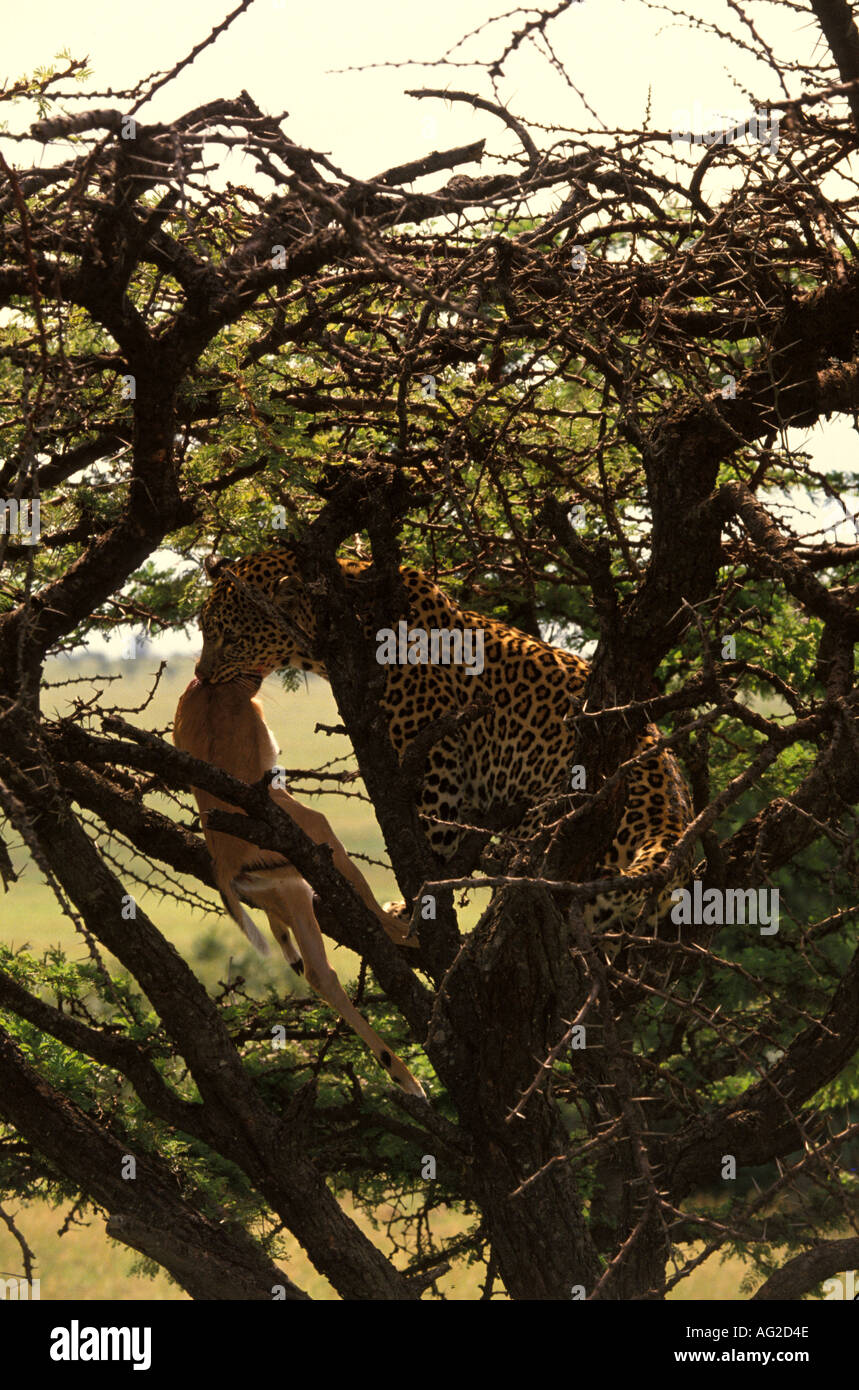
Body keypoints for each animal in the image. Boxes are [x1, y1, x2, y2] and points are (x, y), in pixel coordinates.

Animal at [195, 547, 694, 939]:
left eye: (231, 637)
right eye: (203, 631)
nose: (200, 674)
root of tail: (671, 820)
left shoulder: (432, 753)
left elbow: (432, 838)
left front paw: (415, 905)